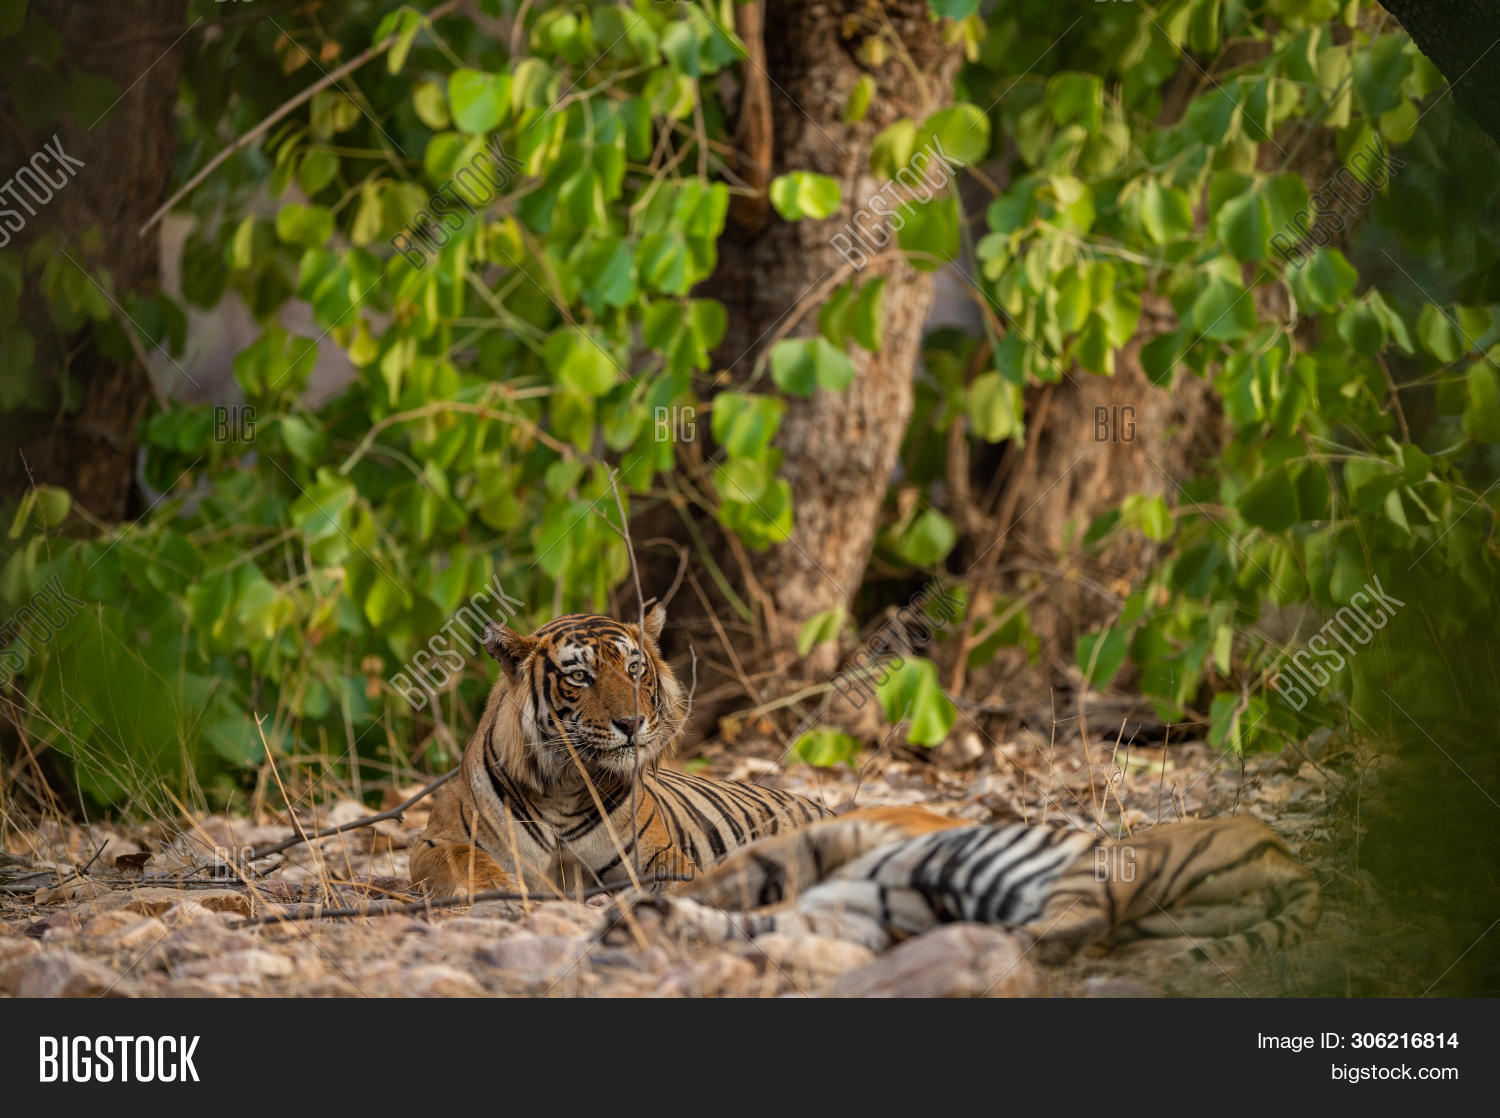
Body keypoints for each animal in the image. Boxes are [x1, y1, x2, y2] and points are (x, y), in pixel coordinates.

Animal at [408, 605, 827, 899]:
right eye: (579, 676)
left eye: (635, 669)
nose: (631, 722)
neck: (562, 788)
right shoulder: (434, 841)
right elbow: (465, 858)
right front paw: (497, 887)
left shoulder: (657, 853)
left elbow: (679, 877)